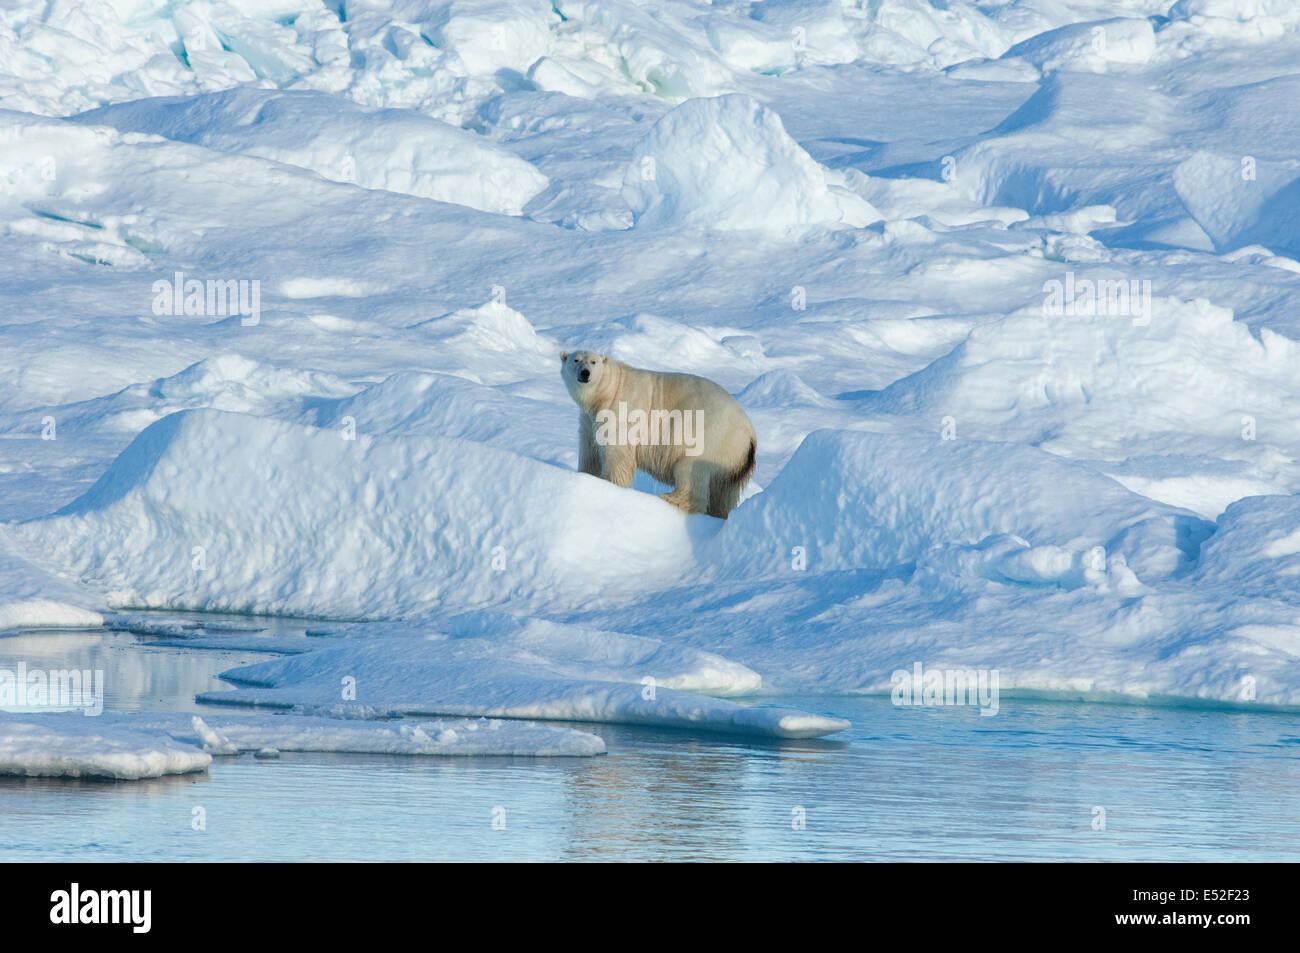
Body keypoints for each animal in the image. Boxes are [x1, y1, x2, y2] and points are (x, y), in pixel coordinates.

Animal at [560, 350, 756, 518]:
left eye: (593, 362)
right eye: (576, 360)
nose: (585, 373)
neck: (609, 392)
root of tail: (750, 435)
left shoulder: (623, 411)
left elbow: (618, 455)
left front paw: (611, 485)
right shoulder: (589, 421)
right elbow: (590, 452)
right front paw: (587, 476)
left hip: (712, 437)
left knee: (691, 469)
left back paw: (670, 498)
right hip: (733, 462)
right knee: (723, 492)